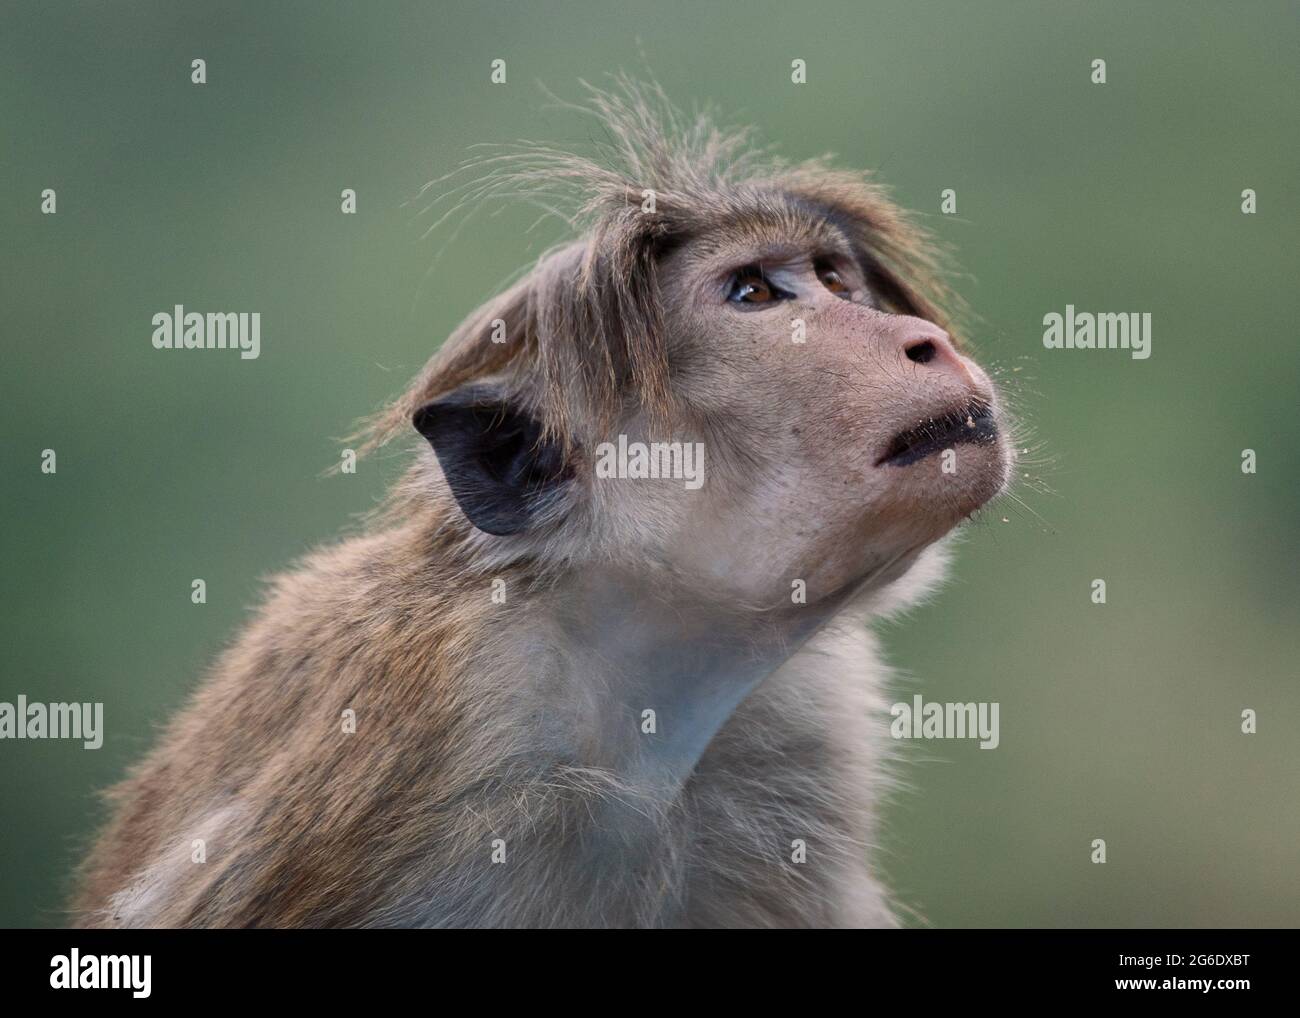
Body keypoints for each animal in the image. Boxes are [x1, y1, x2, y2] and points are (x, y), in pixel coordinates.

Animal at [71, 82, 1013, 928]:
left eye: (833, 282)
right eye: (754, 294)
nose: (925, 343)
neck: (637, 690)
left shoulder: (805, 729)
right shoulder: (443, 727)